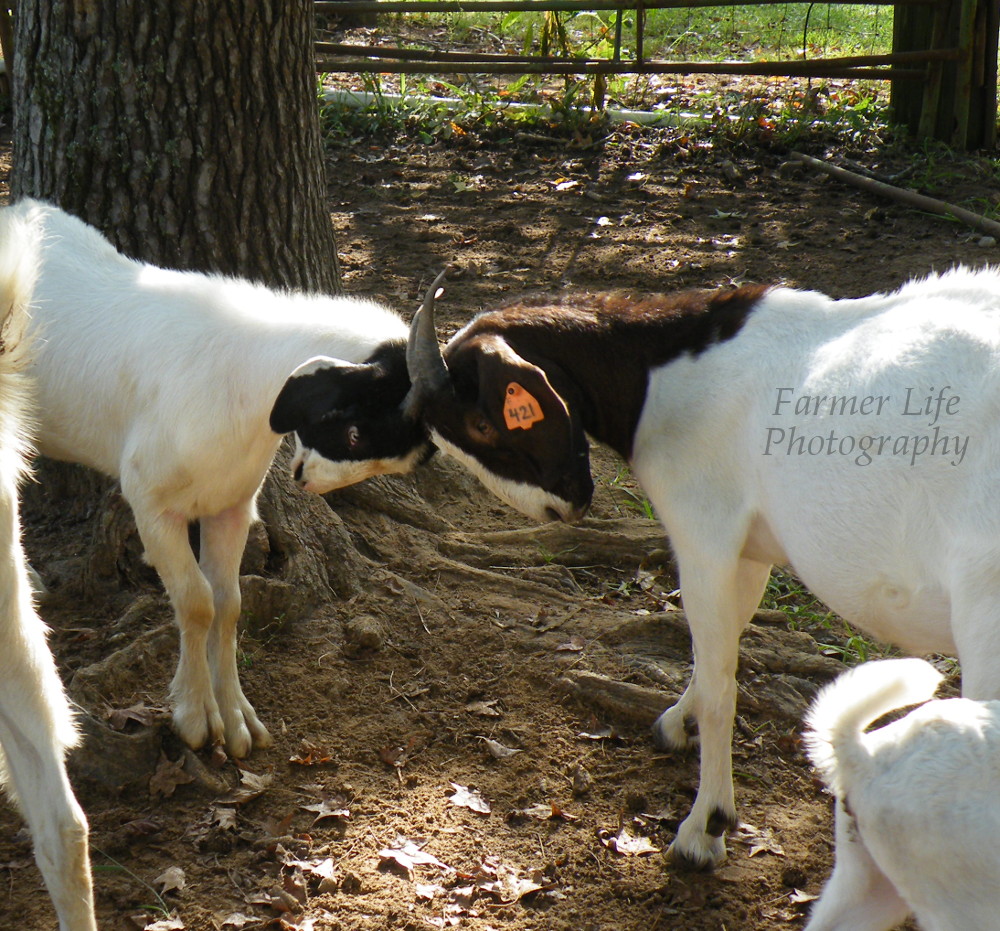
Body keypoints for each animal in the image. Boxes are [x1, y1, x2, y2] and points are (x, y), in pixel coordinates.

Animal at [8, 198, 431, 758]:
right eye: (355, 431)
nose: (308, 482)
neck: (241, 375)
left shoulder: (231, 503)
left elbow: (229, 605)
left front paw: (237, 720)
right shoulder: (152, 503)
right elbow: (196, 603)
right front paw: (194, 718)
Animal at [405, 266, 1000, 868]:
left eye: (483, 422)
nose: (559, 507)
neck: (666, 372)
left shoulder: (703, 531)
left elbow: (718, 682)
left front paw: (706, 826)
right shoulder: (751, 547)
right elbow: (725, 640)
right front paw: (675, 723)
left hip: (984, 607)